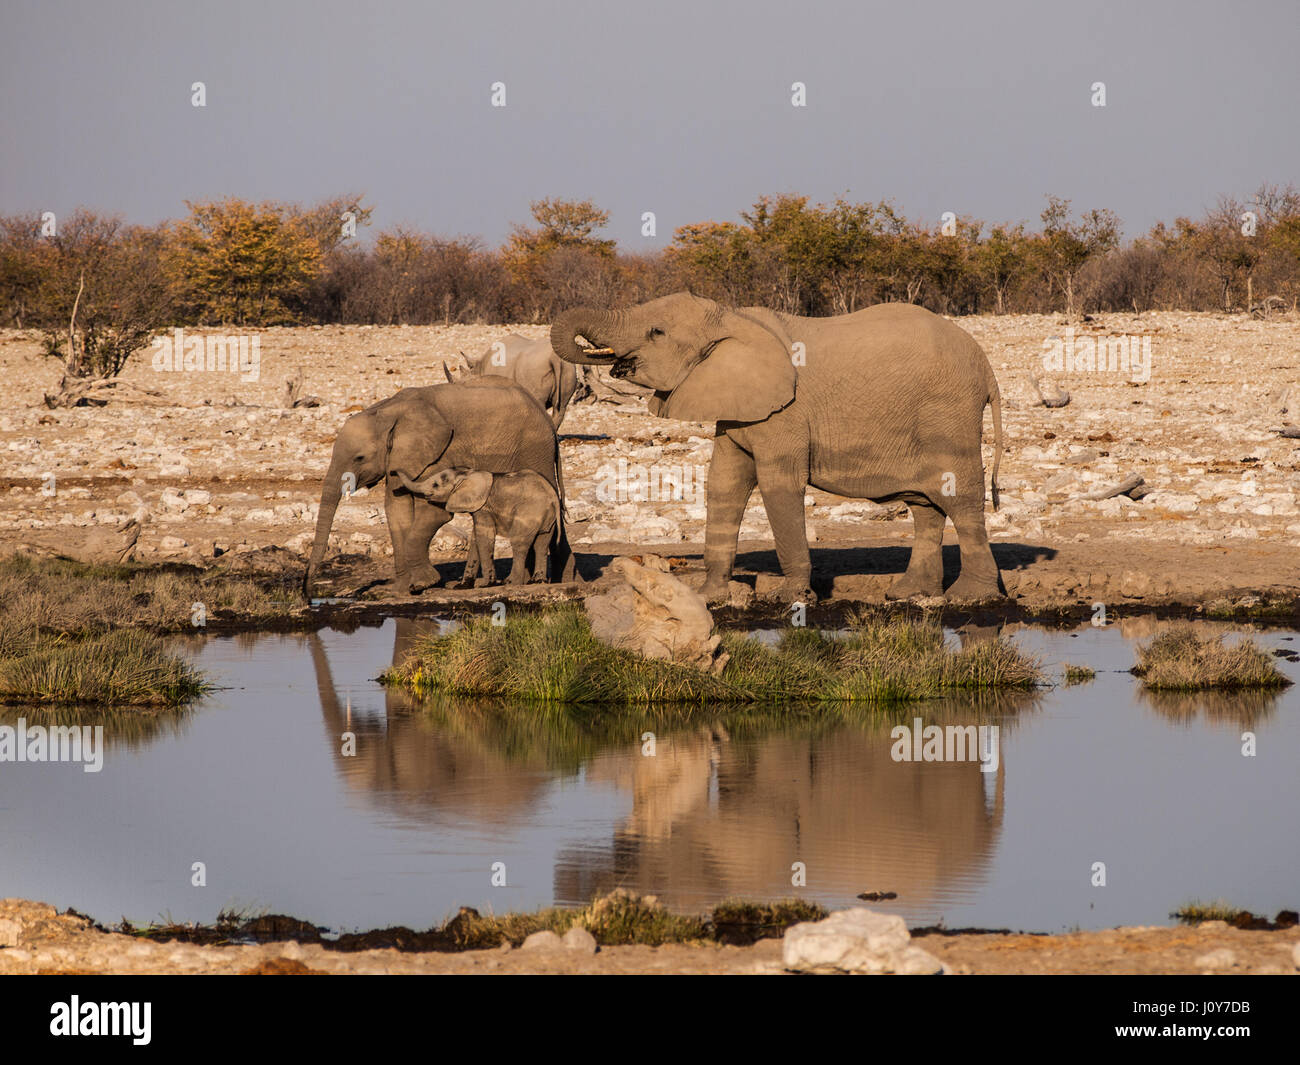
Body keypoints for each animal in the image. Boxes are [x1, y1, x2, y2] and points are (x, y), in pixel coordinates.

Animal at [397, 466, 562, 587]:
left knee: (519, 544)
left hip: (529, 512)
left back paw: (510, 582)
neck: (468, 474)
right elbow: (476, 538)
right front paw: (461, 586)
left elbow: (484, 537)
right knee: (542, 544)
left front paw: (484, 584)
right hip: (547, 517)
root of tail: (553, 496)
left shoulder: (484, 508)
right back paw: (537, 581)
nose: (394, 471)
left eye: (435, 484)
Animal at [551, 293, 1004, 603]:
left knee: (959, 499)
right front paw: (711, 595)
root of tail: (987, 369)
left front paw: (792, 598)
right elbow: (724, 483)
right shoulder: (739, 409)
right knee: (926, 506)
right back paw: (907, 593)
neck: (732, 317)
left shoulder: (784, 414)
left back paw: (971, 596)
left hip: (948, 415)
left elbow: (777, 485)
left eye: (656, 332)